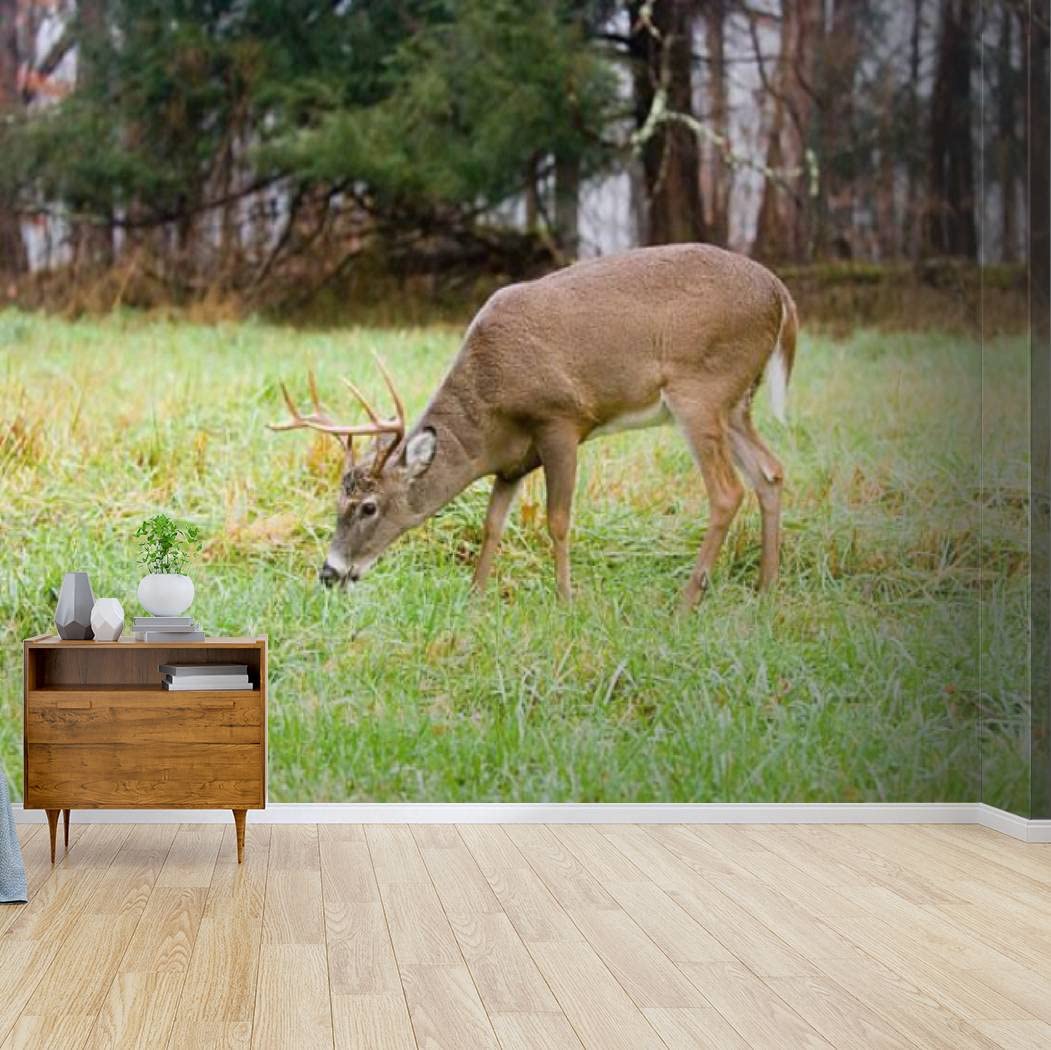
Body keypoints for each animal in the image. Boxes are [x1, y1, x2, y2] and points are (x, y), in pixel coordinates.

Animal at [268, 243, 798, 610]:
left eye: (369, 507)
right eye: (337, 501)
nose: (330, 572)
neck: (491, 406)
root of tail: (780, 293)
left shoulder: (561, 420)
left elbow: (557, 520)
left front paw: (565, 601)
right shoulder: (512, 461)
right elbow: (492, 525)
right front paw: (475, 599)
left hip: (701, 388)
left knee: (727, 491)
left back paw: (687, 602)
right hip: (735, 402)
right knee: (770, 471)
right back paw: (767, 589)